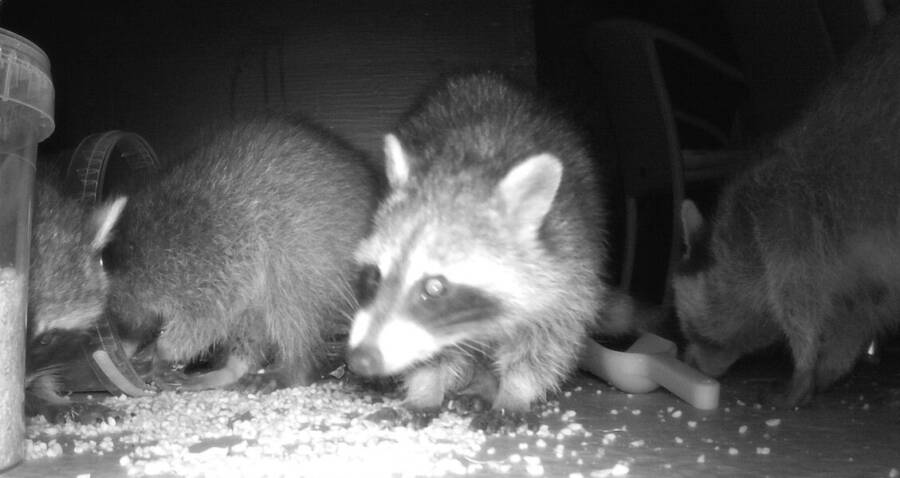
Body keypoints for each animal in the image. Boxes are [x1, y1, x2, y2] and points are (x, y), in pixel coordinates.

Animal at [105, 117, 380, 390]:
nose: (117, 352)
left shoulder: (206, 263)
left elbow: (205, 320)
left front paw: (161, 351)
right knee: (254, 323)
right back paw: (231, 369)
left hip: (306, 256)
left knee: (291, 311)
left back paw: (291, 366)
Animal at [345, 74, 618, 428]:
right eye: (374, 276)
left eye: (435, 287)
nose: (360, 359)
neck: (469, 165)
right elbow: (433, 355)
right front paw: (424, 389)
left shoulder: (570, 273)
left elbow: (544, 349)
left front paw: (514, 393)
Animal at [673, 17, 900, 408]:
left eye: (688, 328)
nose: (687, 360)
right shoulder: (871, 274)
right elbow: (864, 311)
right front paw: (832, 363)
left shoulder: (785, 215)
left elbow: (799, 293)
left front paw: (805, 362)